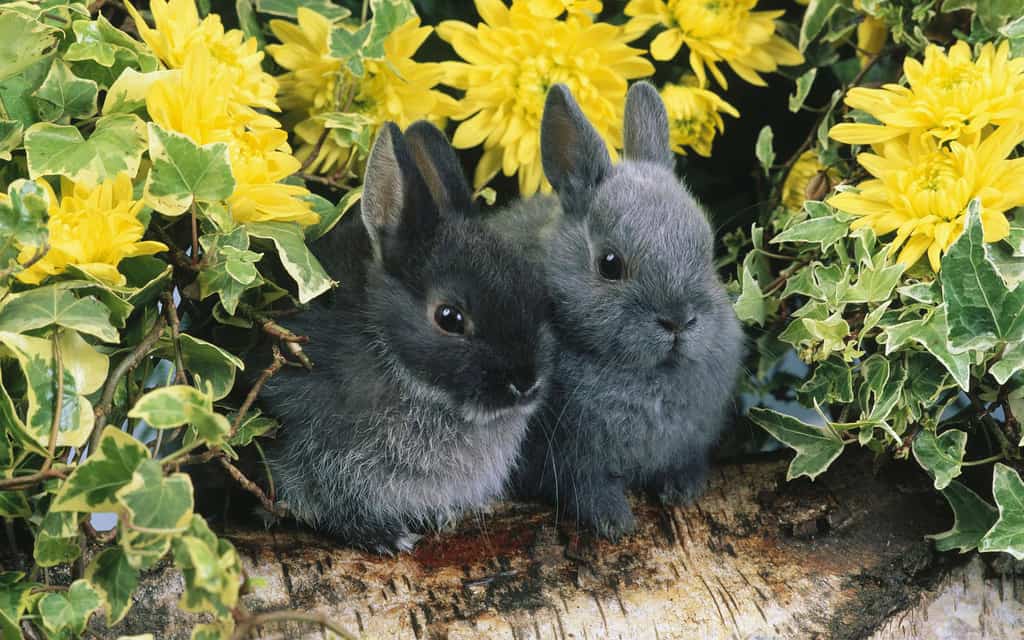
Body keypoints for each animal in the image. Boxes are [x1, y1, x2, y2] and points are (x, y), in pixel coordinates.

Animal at [511, 82, 744, 540]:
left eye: (706, 248)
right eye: (609, 264)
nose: (678, 320)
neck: (645, 375)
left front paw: (682, 491)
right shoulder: (567, 461)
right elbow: (585, 487)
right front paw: (614, 521)